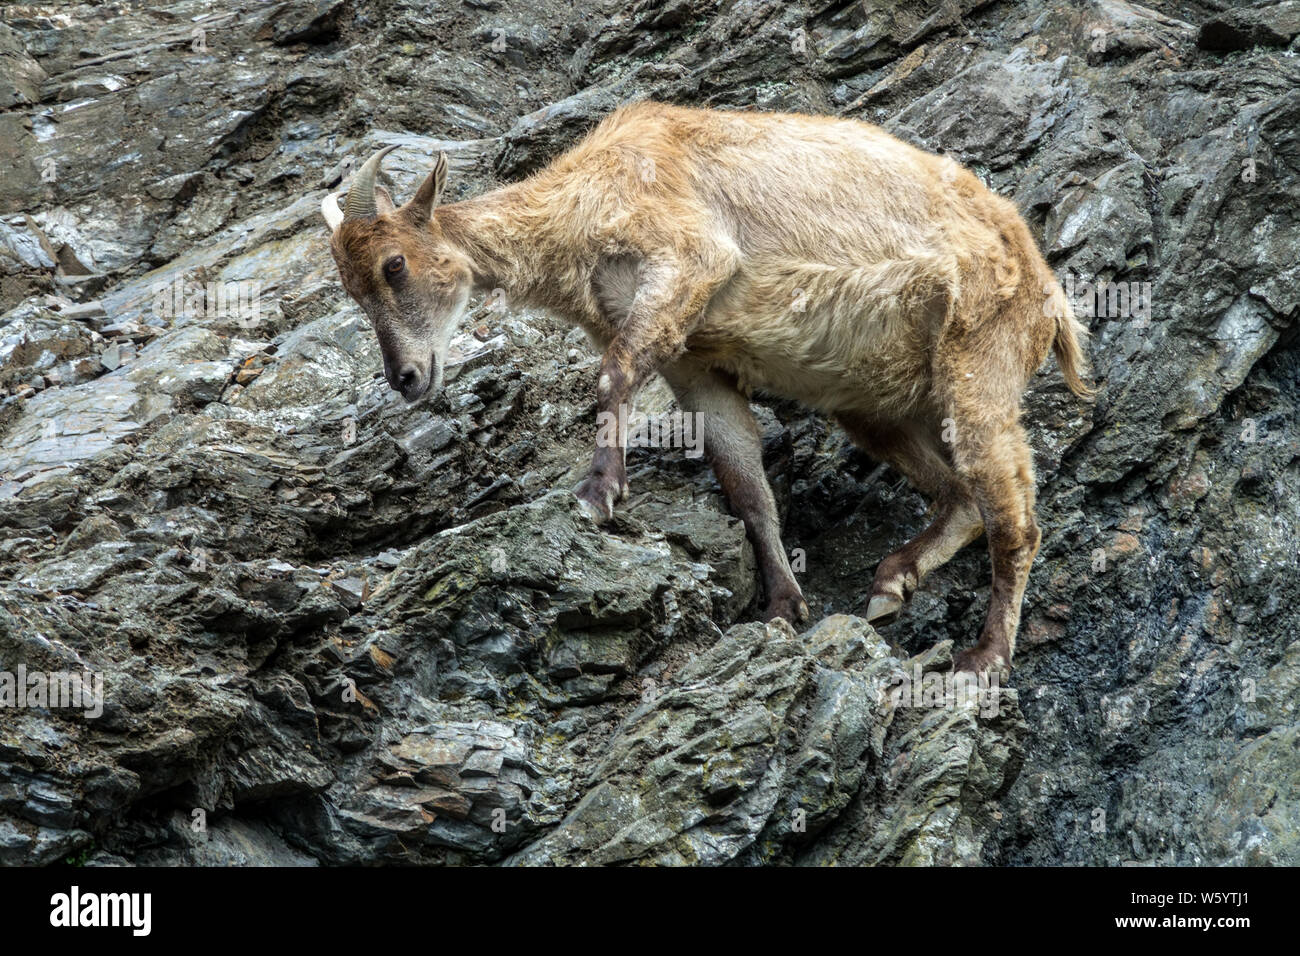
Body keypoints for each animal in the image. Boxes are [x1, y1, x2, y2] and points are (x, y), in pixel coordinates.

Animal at [320, 101, 1092, 674]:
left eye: (394, 265)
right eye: (350, 289)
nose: (407, 378)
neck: (581, 203)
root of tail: (1050, 298)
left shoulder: (686, 262)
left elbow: (615, 374)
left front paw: (597, 494)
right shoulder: (694, 364)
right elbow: (745, 481)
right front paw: (783, 608)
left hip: (978, 358)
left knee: (1015, 518)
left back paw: (985, 657)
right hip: (876, 406)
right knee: (960, 496)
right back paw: (891, 583)